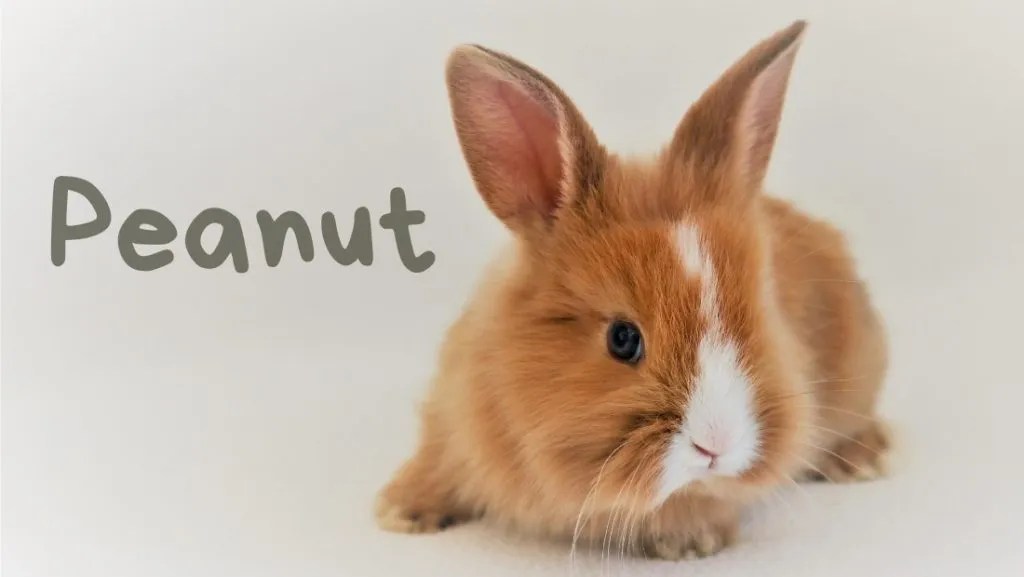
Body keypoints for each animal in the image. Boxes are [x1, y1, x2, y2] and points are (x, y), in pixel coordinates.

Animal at [375, 20, 890, 561]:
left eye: (758, 323)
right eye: (622, 339)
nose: (716, 446)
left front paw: (690, 541)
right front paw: (400, 510)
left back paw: (863, 459)